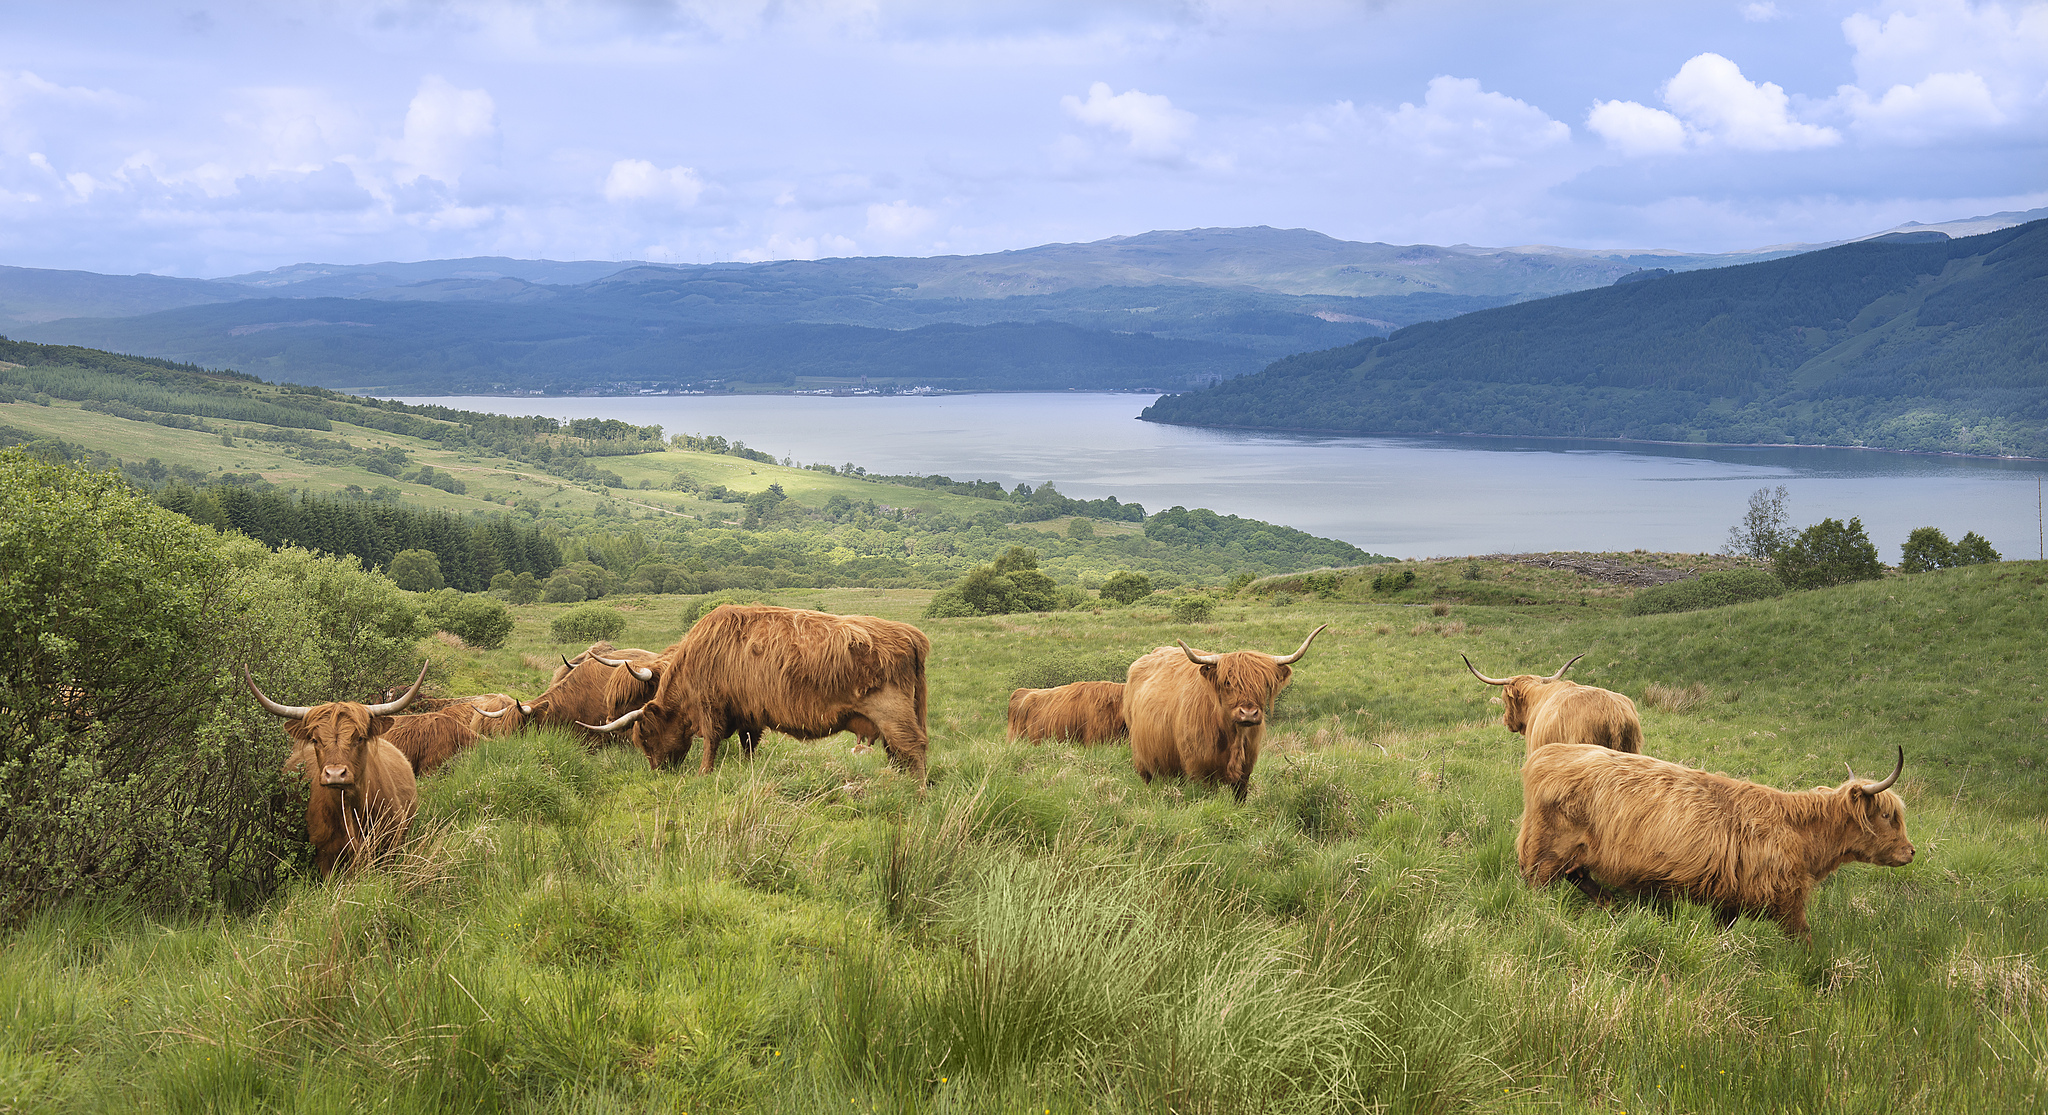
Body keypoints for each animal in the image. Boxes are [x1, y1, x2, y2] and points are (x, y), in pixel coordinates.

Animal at [581, 604, 930, 779]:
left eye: (645, 735)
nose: (657, 771)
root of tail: (911, 635)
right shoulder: (747, 713)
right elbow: (747, 745)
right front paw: (745, 769)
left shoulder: (711, 706)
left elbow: (711, 742)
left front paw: (704, 774)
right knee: (901, 753)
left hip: (893, 714)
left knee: (913, 749)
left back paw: (916, 794)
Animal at [1125, 626, 1326, 801]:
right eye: (1228, 682)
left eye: (1263, 683)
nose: (1248, 713)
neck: (1232, 735)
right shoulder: (1199, 770)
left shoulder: (1245, 771)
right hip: (1143, 760)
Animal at [1517, 744, 1914, 939]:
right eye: (1886, 816)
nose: (1911, 851)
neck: (1801, 832)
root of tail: (1546, 753)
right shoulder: (1787, 898)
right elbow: (1804, 939)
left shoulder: (1730, 898)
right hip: (1547, 849)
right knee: (1538, 885)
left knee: (1582, 879)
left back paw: (1615, 908)